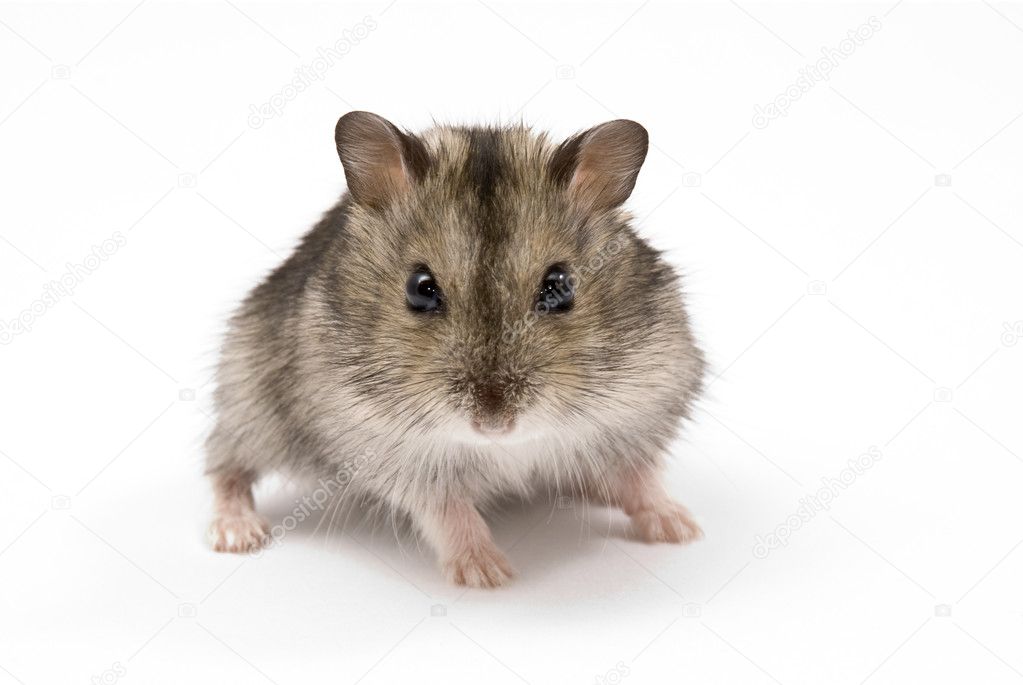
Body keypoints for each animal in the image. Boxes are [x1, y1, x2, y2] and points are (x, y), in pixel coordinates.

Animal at [206, 111, 705, 587]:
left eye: (559, 286)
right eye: (420, 288)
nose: (494, 424)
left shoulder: (639, 409)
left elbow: (640, 477)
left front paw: (681, 529)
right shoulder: (392, 450)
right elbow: (448, 511)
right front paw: (488, 575)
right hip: (248, 397)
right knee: (226, 465)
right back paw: (236, 534)